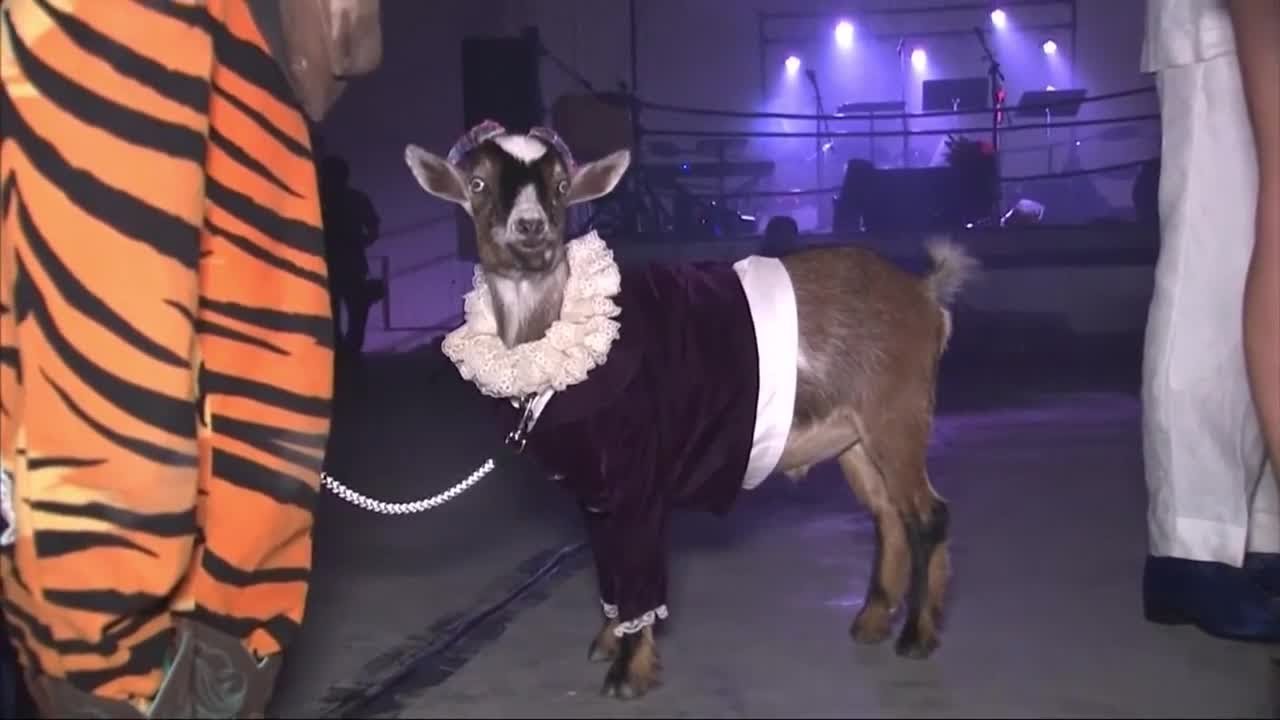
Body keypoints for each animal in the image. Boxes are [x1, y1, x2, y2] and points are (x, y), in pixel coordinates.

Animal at [405, 120, 978, 700]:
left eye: (562, 186)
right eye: (477, 183)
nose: (530, 227)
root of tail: (924, 295)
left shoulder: (638, 477)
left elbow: (639, 575)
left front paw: (629, 673)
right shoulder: (596, 493)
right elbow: (610, 570)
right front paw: (609, 641)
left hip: (896, 412)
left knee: (928, 515)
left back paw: (917, 635)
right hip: (856, 436)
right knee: (888, 515)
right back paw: (873, 620)